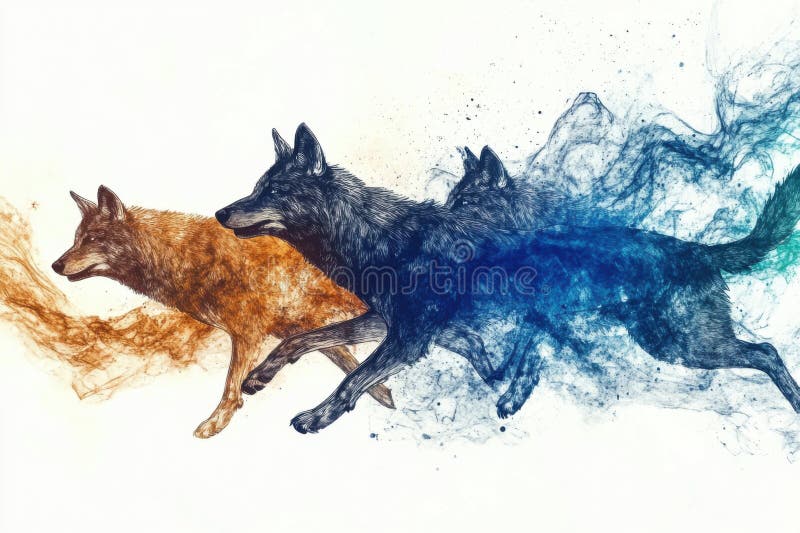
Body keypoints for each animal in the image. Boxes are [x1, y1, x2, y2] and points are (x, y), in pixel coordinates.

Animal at [51, 186, 394, 438]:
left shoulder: (248, 335)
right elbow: (344, 359)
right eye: (76, 240)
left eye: (92, 240)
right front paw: (383, 394)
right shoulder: (293, 330)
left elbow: (231, 387)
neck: (190, 259)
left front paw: (215, 424)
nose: (56, 265)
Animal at [218, 124, 800, 434]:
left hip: (680, 343)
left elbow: (351, 378)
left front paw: (316, 417)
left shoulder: (408, 338)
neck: (379, 237)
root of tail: (695, 248)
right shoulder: (394, 325)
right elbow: (306, 338)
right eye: (257, 187)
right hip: (668, 340)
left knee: (766, 351)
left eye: (272, 192)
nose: (222, 213)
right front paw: (261, 375)